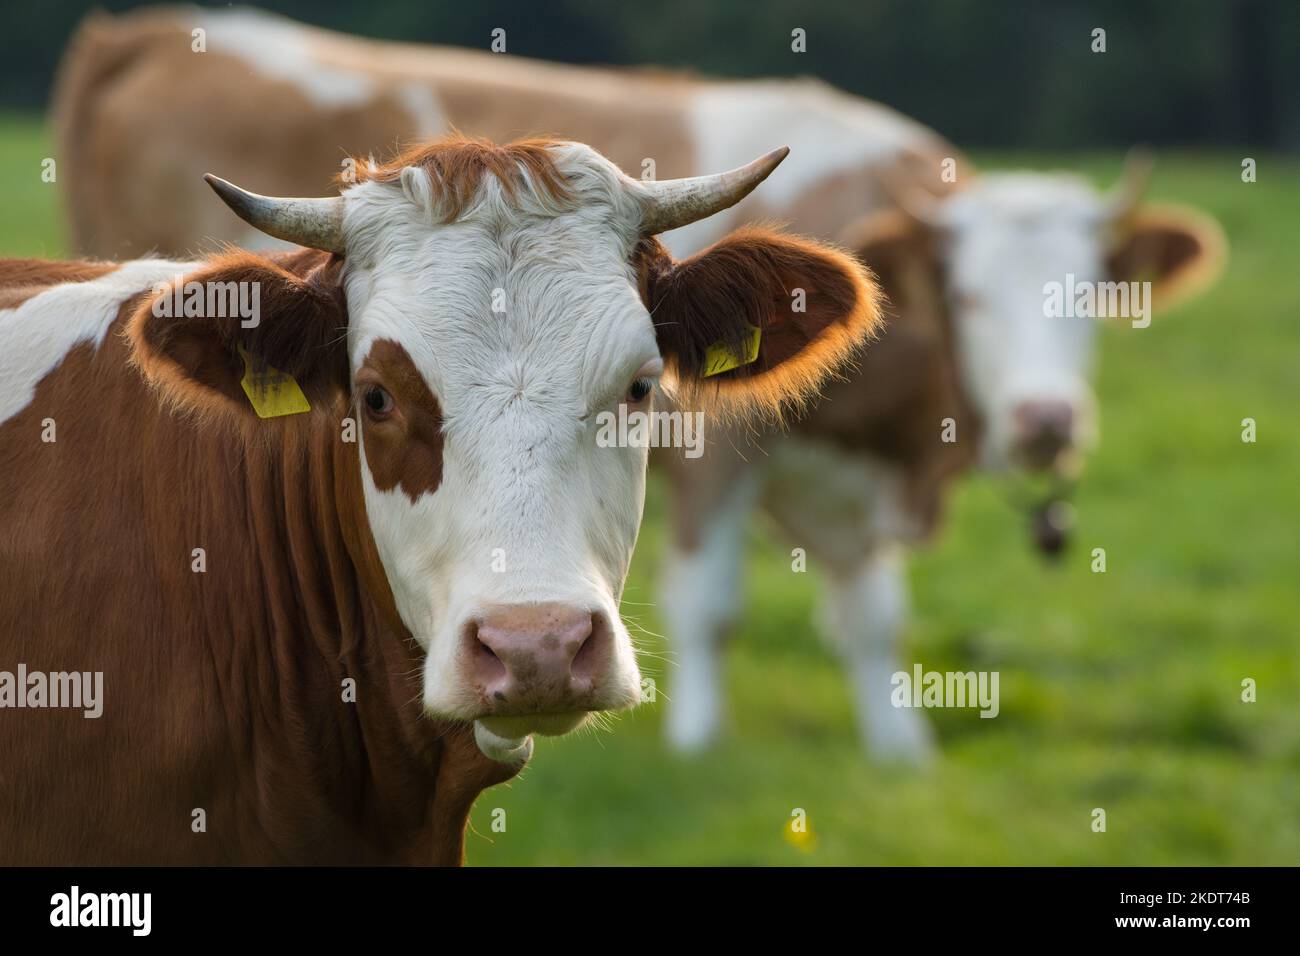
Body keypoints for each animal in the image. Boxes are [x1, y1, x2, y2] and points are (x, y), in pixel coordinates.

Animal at [53, 7, 1226, 762]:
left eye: (1094, 296)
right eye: (967, 296)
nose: (1045, 421)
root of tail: (148, 32)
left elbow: (872, 613)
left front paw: (899, 747)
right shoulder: (717, 457)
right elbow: (712, 604)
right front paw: (697, 743)